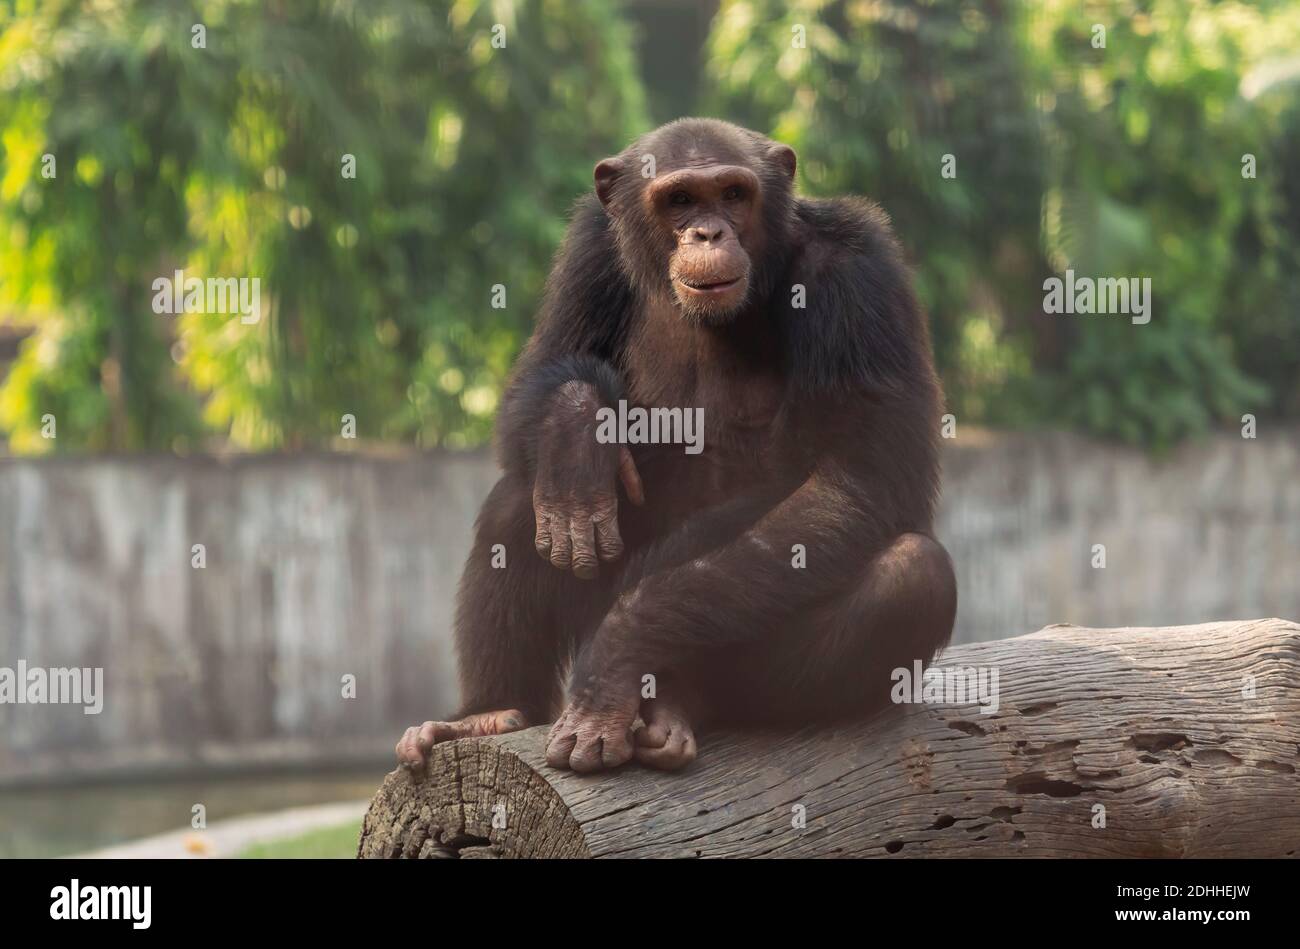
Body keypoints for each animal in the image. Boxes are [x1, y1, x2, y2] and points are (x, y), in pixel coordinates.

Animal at [396, 118, 956, 773]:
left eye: (734, 194)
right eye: (680, 199)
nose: (707, 231)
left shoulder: (858, 275)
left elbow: (852, 480)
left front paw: (616, 654)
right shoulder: (589, 247)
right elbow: (539, 379)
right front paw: (576, 432)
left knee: (912, 575)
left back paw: (676, 700)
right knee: (519, 497)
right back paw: (492, 712)